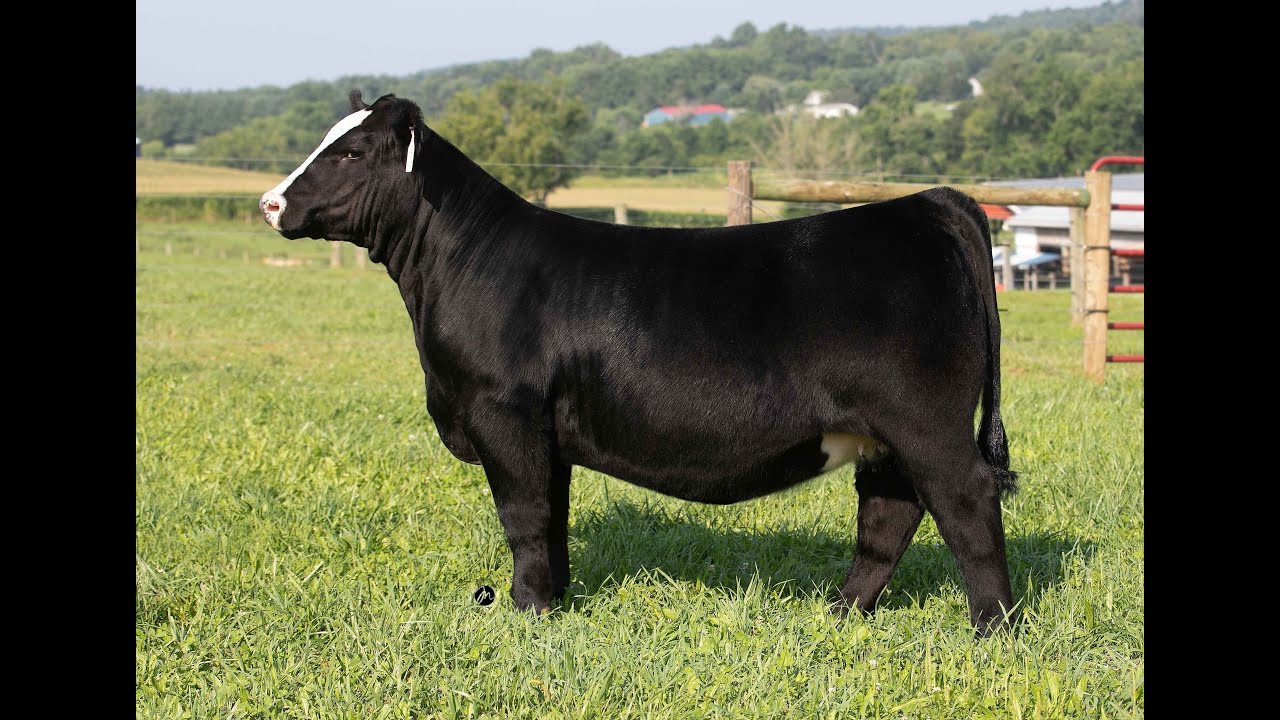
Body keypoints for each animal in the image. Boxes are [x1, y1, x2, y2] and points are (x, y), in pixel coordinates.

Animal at [260, 91, 1019, 635]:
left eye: (352, 152)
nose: (270, 201)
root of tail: (927, 203)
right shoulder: (546, 432)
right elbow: (552, 516)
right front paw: (554, 602)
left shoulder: (502, 411)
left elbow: (523, 515)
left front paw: (525, 614)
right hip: (883, 433)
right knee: (889, 515)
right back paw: (839, 616)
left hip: (926, 421)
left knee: (966, 502)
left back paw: (994, 628)